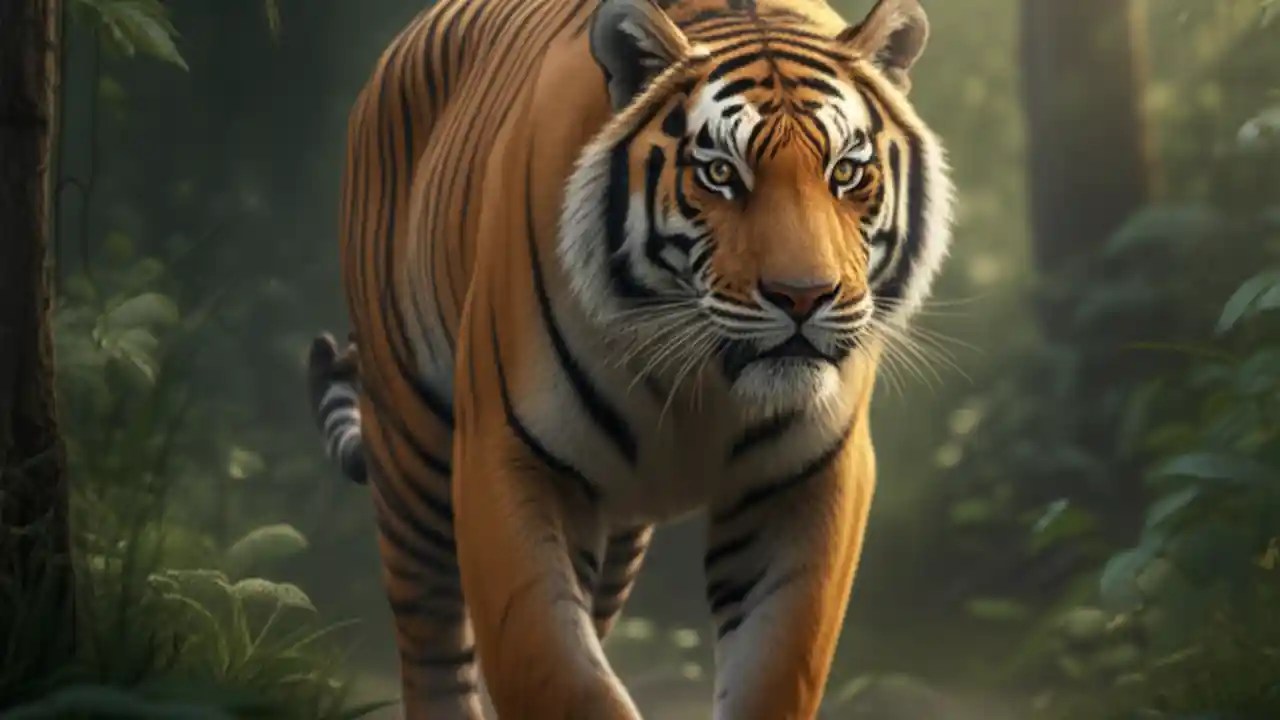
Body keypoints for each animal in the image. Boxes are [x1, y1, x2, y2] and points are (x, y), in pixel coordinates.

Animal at [307, 0, 953, 717]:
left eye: (845, 172)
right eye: (719, 174)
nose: (804, 296)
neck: (699, 381)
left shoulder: (805, 478)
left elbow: (774, 672)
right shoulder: (505, 456)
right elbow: (558, 673)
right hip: (412, 451)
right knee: (435, 653)